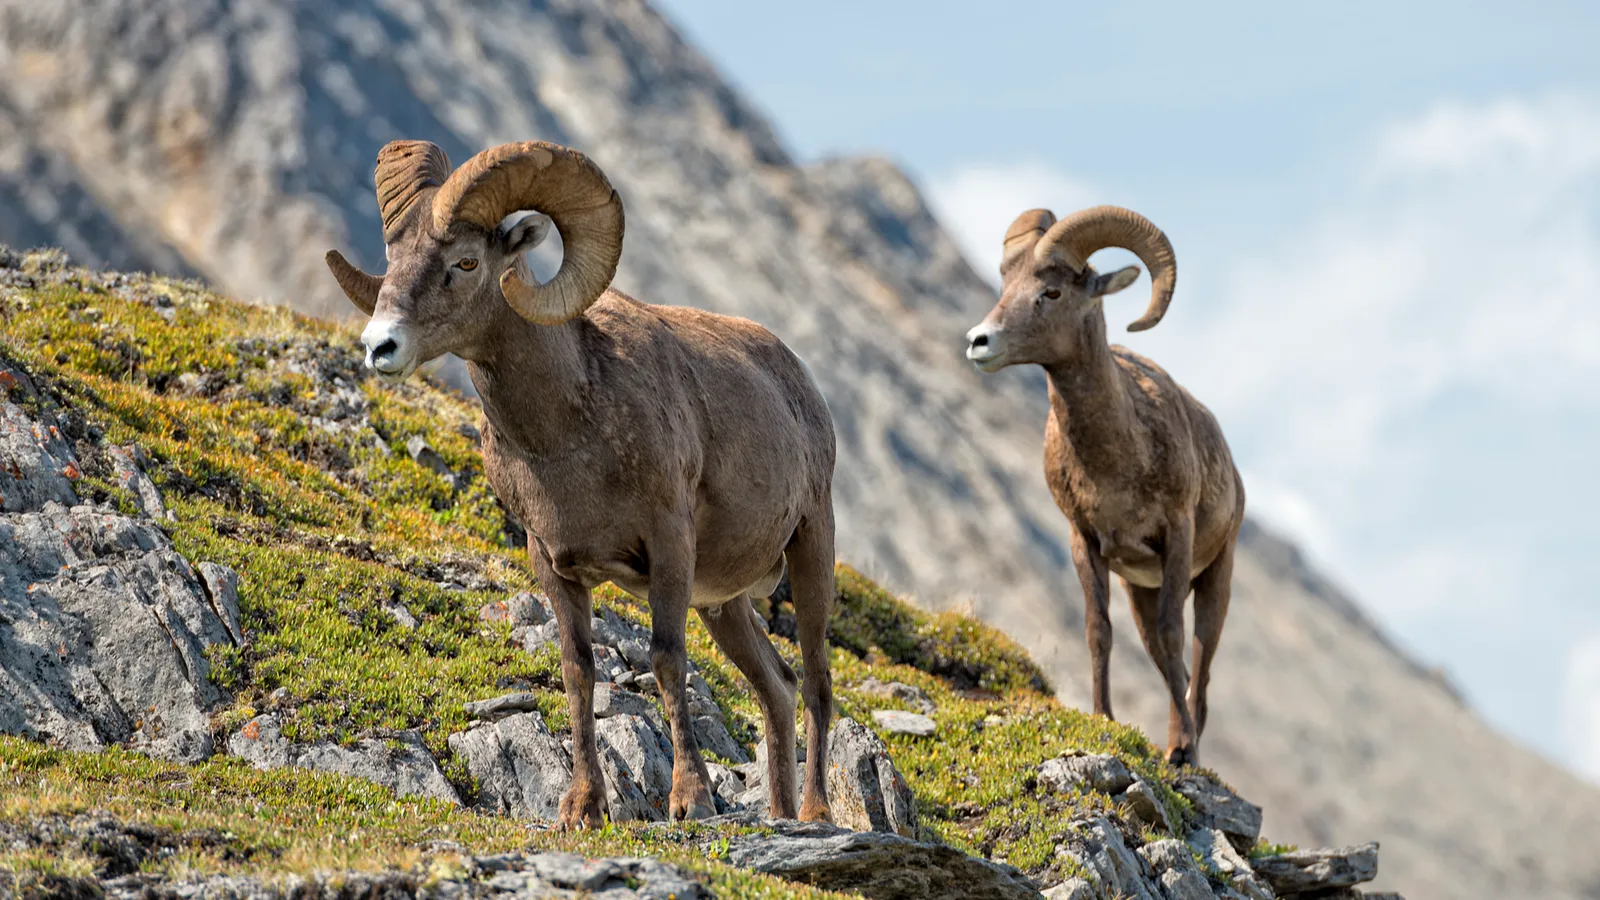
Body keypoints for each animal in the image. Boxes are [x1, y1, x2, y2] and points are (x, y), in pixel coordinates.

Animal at [325, 140, 837, 827]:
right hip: (725, 604)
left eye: (465, 262)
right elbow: (578, 672)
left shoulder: (669, 544)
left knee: (815, 683)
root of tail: (799, 380)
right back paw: (782, 816)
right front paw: (582, 808)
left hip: (811, 549)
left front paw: (690, 800)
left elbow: (666, 658)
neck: (569, 432)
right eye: (394, 259)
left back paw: (815, 815)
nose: (380, 346)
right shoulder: (553, 562)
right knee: (776, 689)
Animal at [963, 206, 1245, 766]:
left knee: (1199, 661)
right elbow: (1099, 632)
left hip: (1215, 576)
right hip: (1141, 589)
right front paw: (1104, 718)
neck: (1117, 459)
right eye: (1007, 282)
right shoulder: (1086, 542)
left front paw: (1181, 750)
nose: (979, 341)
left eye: (1051, 292)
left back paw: (1189, 744)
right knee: (1165, 659)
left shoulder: (1176, 536)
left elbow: (1175, 635)